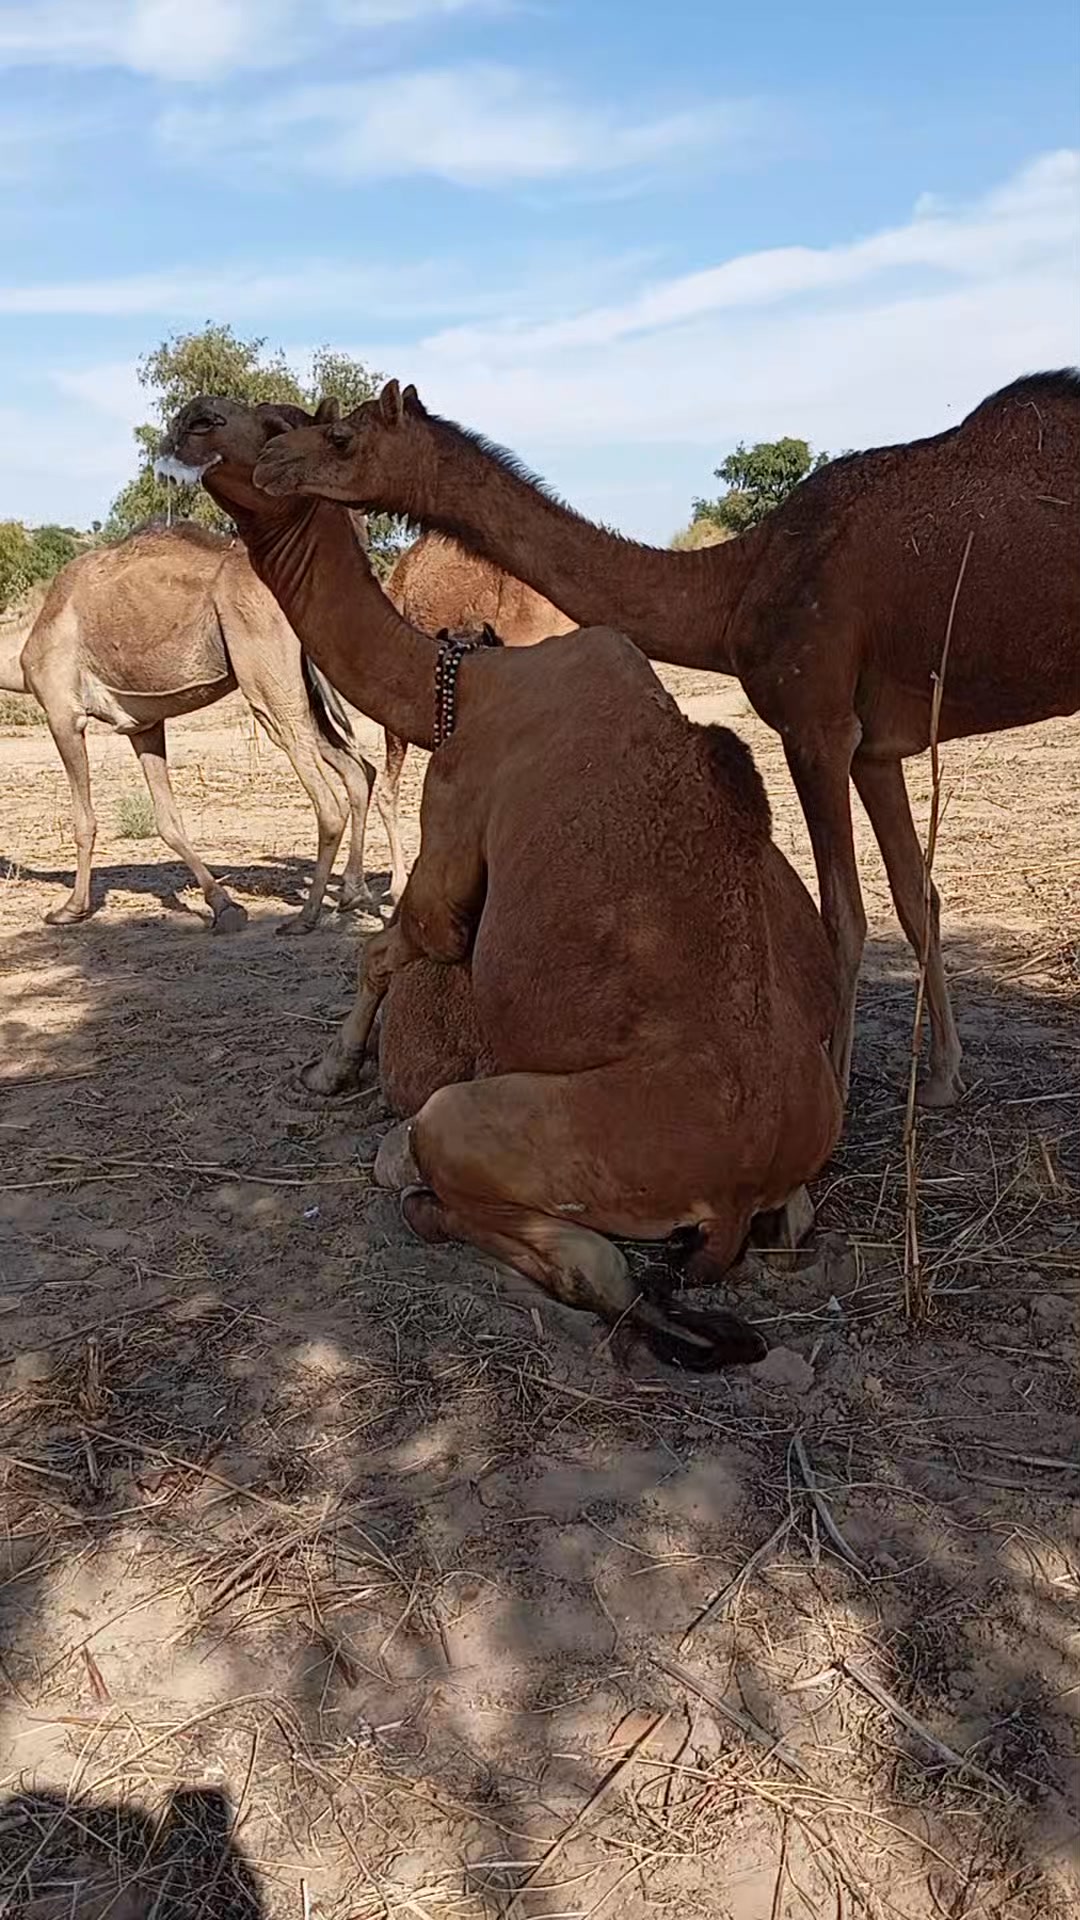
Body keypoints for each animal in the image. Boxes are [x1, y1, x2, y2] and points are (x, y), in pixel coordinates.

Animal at [0, 523, 401, 932]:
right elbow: (168, 821)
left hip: (269, 681)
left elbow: (84, 821)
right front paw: (224, 907)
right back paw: (353, 895)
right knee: (357, 769)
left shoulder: (62, 714)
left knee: (328, 798)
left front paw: (70, 909)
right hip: (308, 681)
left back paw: (305, 916)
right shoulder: (143, 726)